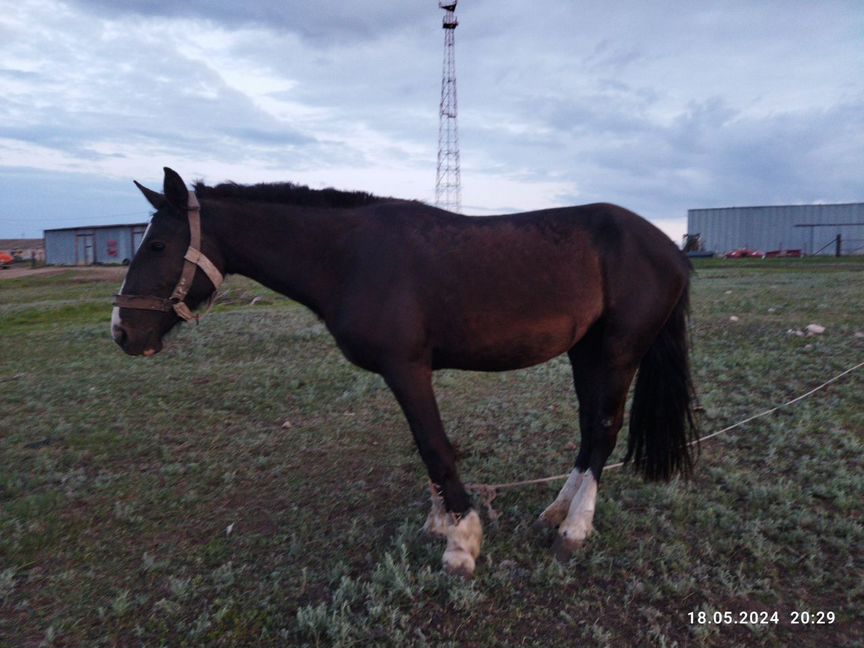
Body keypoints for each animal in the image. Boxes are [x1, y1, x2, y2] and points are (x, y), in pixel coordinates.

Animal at [111, 167, 698, 577]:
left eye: (157, 244)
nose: (122, 332)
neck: (349, 256)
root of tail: (668, 246)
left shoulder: (407, 368)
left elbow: (434, 446)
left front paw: (461, 543)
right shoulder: (407, 373)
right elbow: (425, 446)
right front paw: (441, 526)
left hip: (618, 350)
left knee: (603, 429)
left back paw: (574, 530)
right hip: (586, 351)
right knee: (588, 427)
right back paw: (556, 512)